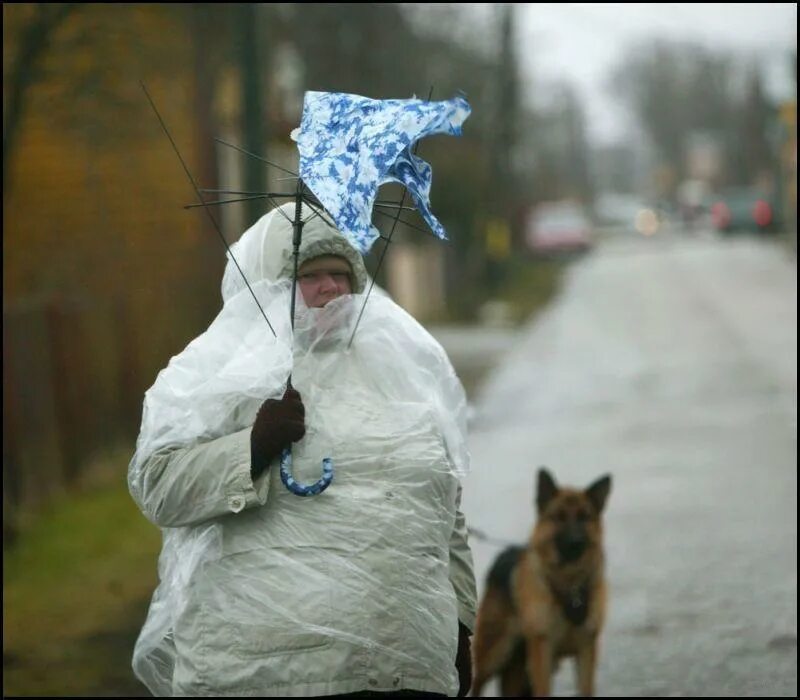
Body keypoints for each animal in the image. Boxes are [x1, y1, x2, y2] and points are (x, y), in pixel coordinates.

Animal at [468, 468, 612, 696]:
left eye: (584, 517)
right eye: (559, 517)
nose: (576, 542)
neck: (569, 583)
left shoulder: (586, 650)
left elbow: (586, 689)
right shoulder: (542, 649)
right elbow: (543, 690)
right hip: (493, 653)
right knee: (476, 682)